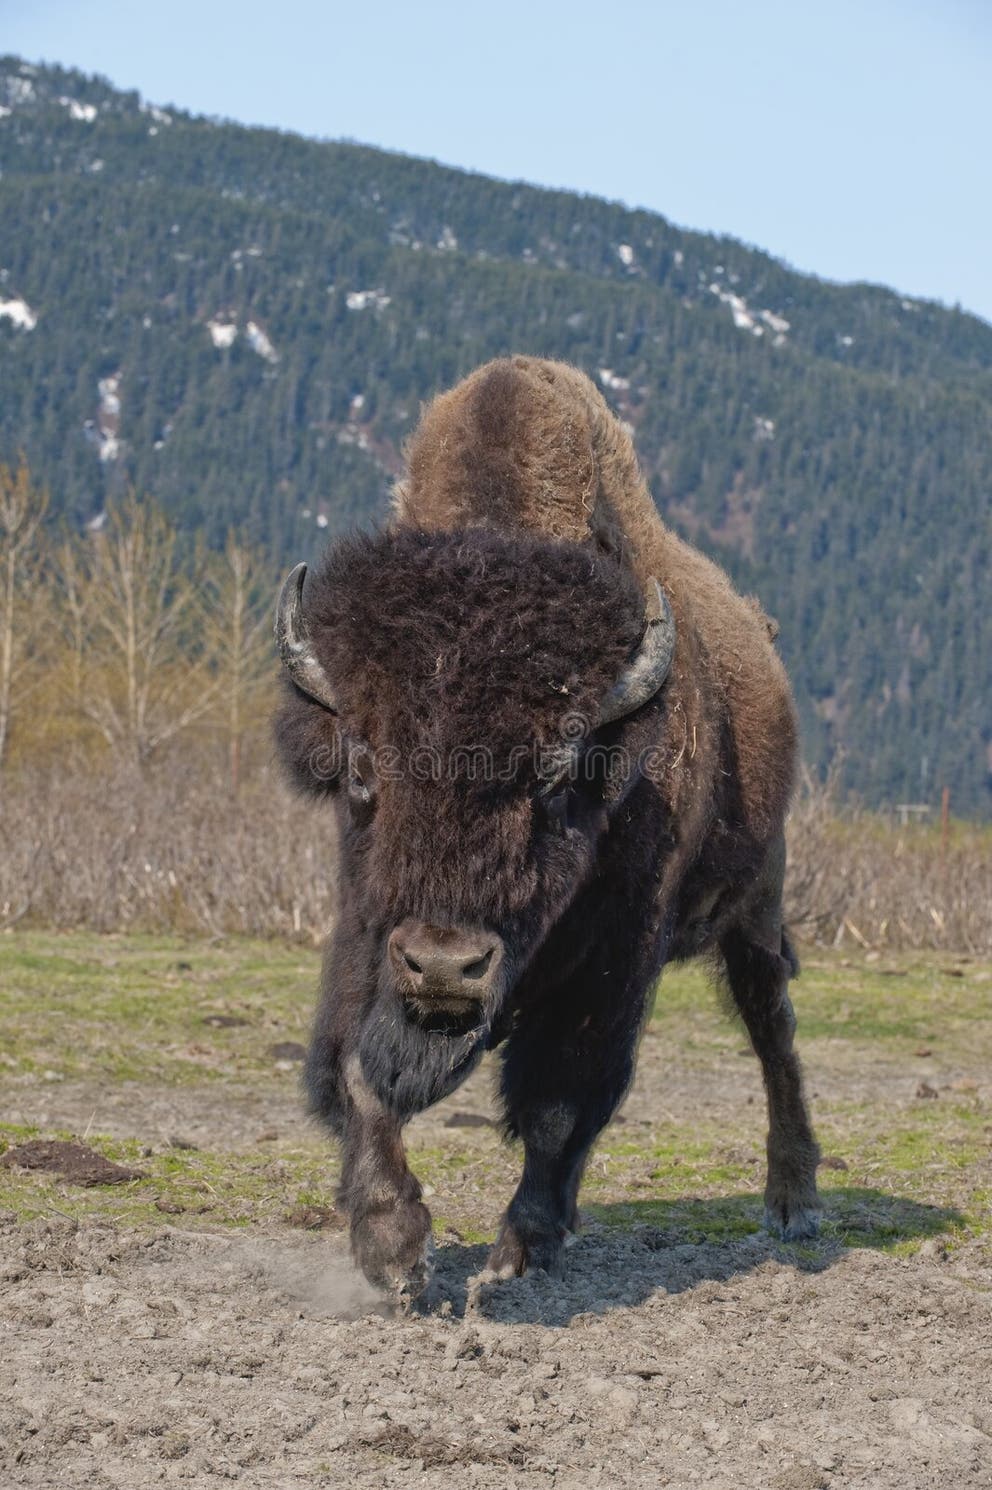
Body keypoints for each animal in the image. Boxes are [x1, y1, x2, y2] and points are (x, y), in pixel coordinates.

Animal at [274, 356, 821, 1297]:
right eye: (362, 766)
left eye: (560, 774)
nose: (446, 965)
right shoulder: (366, 934)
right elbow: (356, 1067)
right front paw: (392, 1247)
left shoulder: (615, 957)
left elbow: (563, 1101)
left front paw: (517, 1251)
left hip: (756, 901)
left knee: (771, 1025)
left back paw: (794, 1200)